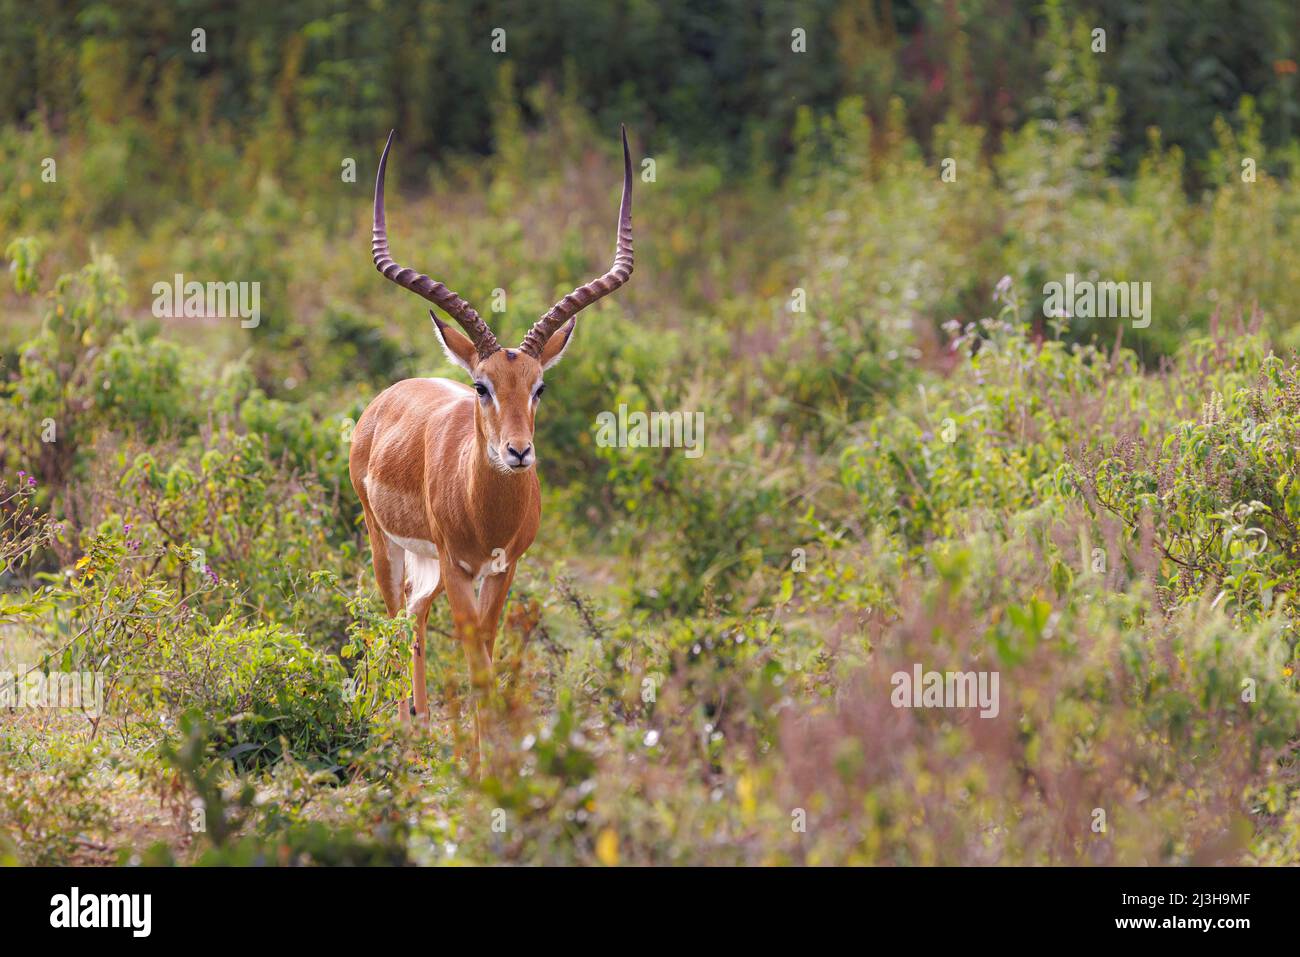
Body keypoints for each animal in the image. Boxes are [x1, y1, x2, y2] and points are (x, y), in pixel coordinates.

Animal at [349, 128, 633, 769]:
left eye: (539, 386)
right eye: (481, 386)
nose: (518, 453)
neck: (486, 511)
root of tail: (387, 398)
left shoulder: (503, 569)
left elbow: (489, 647)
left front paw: (491, 755)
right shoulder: (459, 566)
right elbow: (474, 658)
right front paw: (483, 767)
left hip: (428, 565)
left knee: (415, 615)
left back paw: (425, 723)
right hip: (387, 544)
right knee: (396, 618)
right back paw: (405, 732)